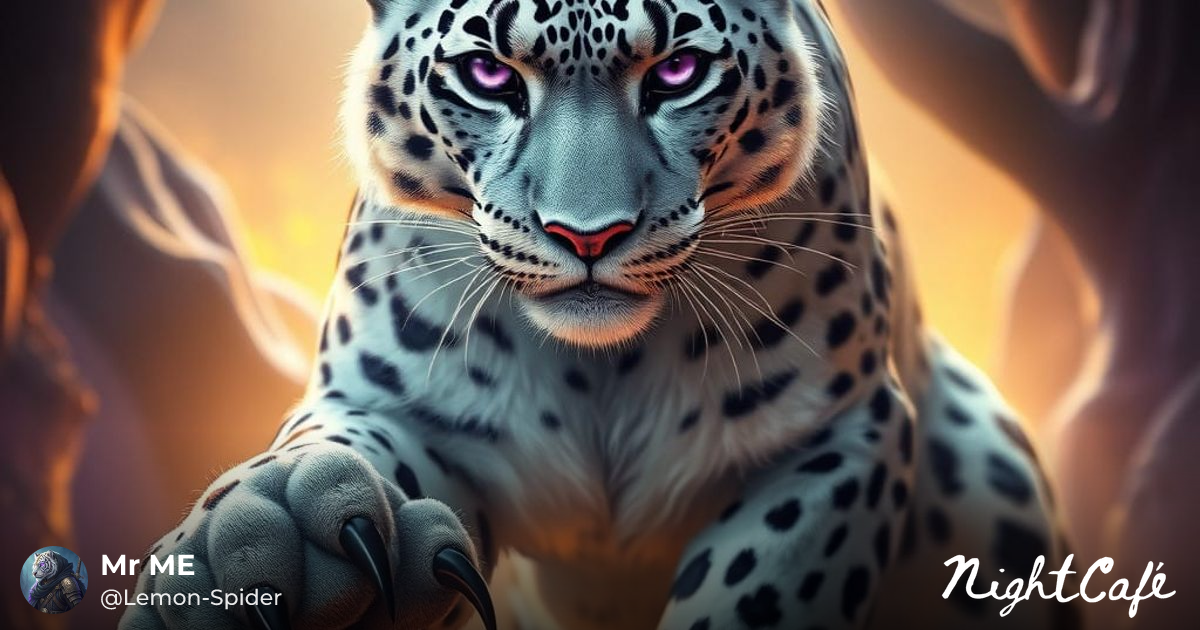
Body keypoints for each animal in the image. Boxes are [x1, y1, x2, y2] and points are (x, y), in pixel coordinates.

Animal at [119, 1, 1078, 629]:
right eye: (489, 74)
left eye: (678, 73)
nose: (588, 234)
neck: (601, 371)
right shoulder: (388, 397)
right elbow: (331, 444)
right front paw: (272, 545)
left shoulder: (842, 434)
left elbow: (758, 581)